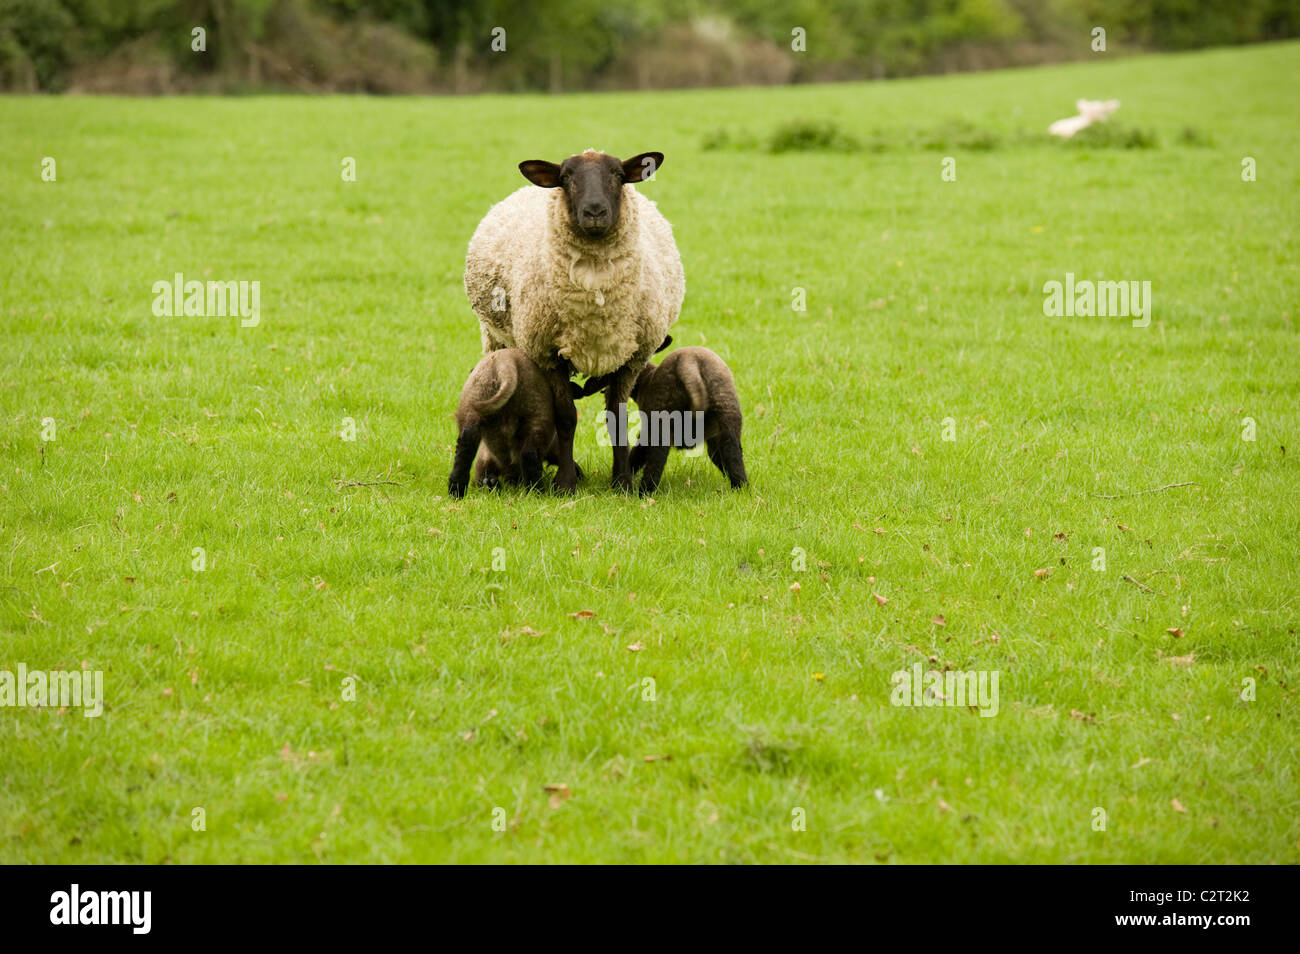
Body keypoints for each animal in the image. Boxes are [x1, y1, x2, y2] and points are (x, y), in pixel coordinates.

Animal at [448, 348, 581, 498]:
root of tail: (506, 363)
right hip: (538, 415)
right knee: (529, 454)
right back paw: (535, 491)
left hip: (470, 409)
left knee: (465, 448)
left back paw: (457, 489)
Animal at [463, 149, 685, 492]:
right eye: (566, 178)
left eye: (618, 175)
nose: (594, 211)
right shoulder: (548, 354)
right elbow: (566, 417)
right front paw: (565, 482)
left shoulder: (632, 357)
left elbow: (618, 418)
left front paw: (622, 481)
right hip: (496, 337)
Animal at [576, 346, 746, 495]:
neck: (645, 380)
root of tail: (690, 361)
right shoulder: (713, 438)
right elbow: (718, 457)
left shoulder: (648, 429)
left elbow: (638, 454)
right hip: (728, 413)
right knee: (733, 455)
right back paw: (741, 488)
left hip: (663, 421)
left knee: (656, 462)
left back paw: (645, 493)